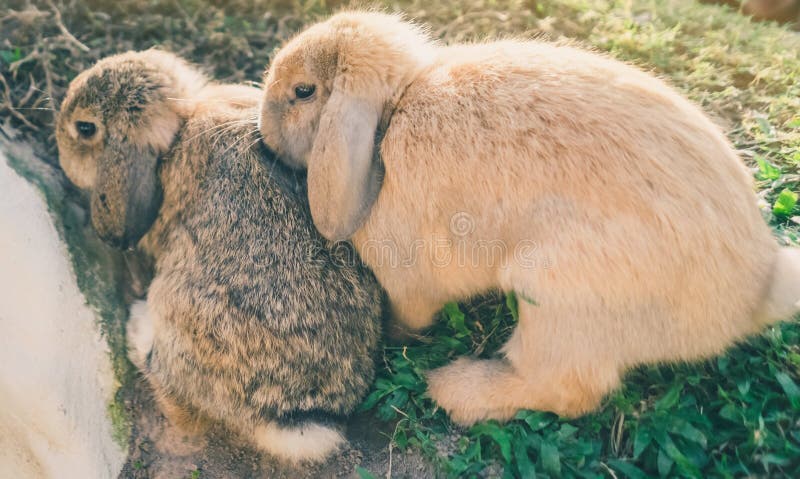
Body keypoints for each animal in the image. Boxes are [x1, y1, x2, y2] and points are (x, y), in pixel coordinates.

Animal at [56, 49, 383, 462]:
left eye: (85, 128)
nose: (60, 149)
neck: (182, 124)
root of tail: (299, 413)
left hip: (178, 302)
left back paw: (136, 328)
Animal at [257, 11, 800, 426]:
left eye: (303, 91)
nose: (264, 135)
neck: (387, 120)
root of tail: (752, 293)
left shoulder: (412, 278)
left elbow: (411, 313)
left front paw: (395, 339)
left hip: (553, 292)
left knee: (566, 391)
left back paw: (455, 388)